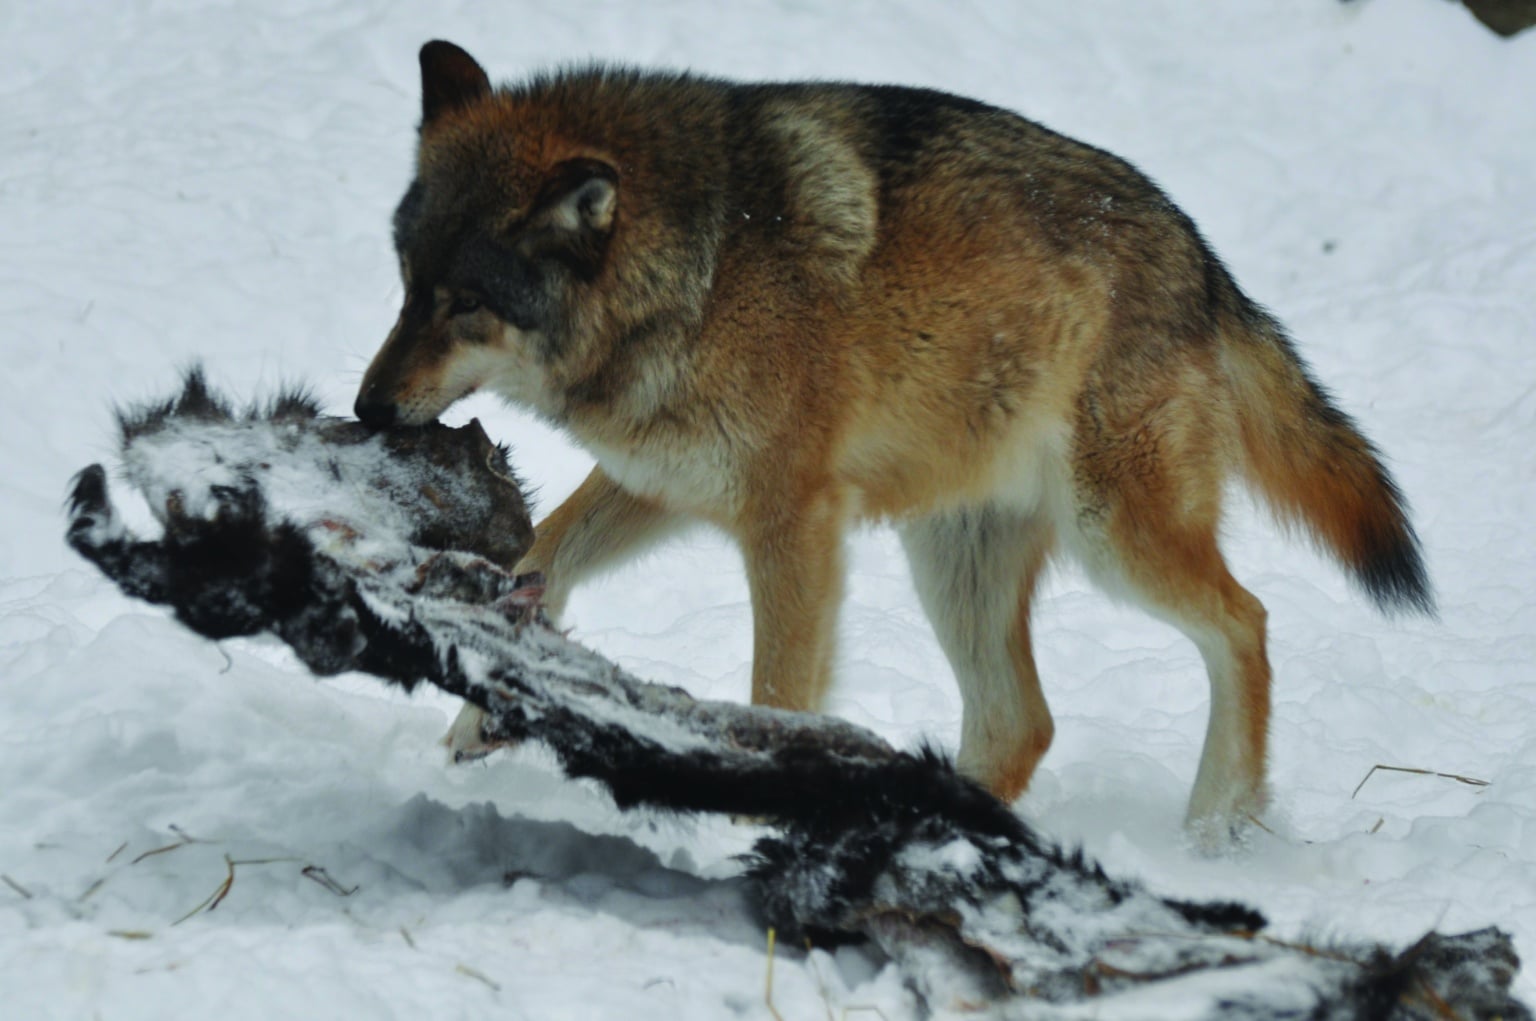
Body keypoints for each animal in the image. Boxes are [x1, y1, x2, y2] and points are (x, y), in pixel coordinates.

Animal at [355, 40, 1432, 840]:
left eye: (464, 303)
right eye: (406, 283)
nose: (366, 408)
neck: (695, 273)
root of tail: (1206, 266)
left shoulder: (791, 521)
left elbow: (775, 692)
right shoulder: (667, 482)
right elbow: (540, 554)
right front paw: (482, 705)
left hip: (1113, 540)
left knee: (1245, 622)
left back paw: (1216, 827)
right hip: (953, 559)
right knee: (1021, 722)